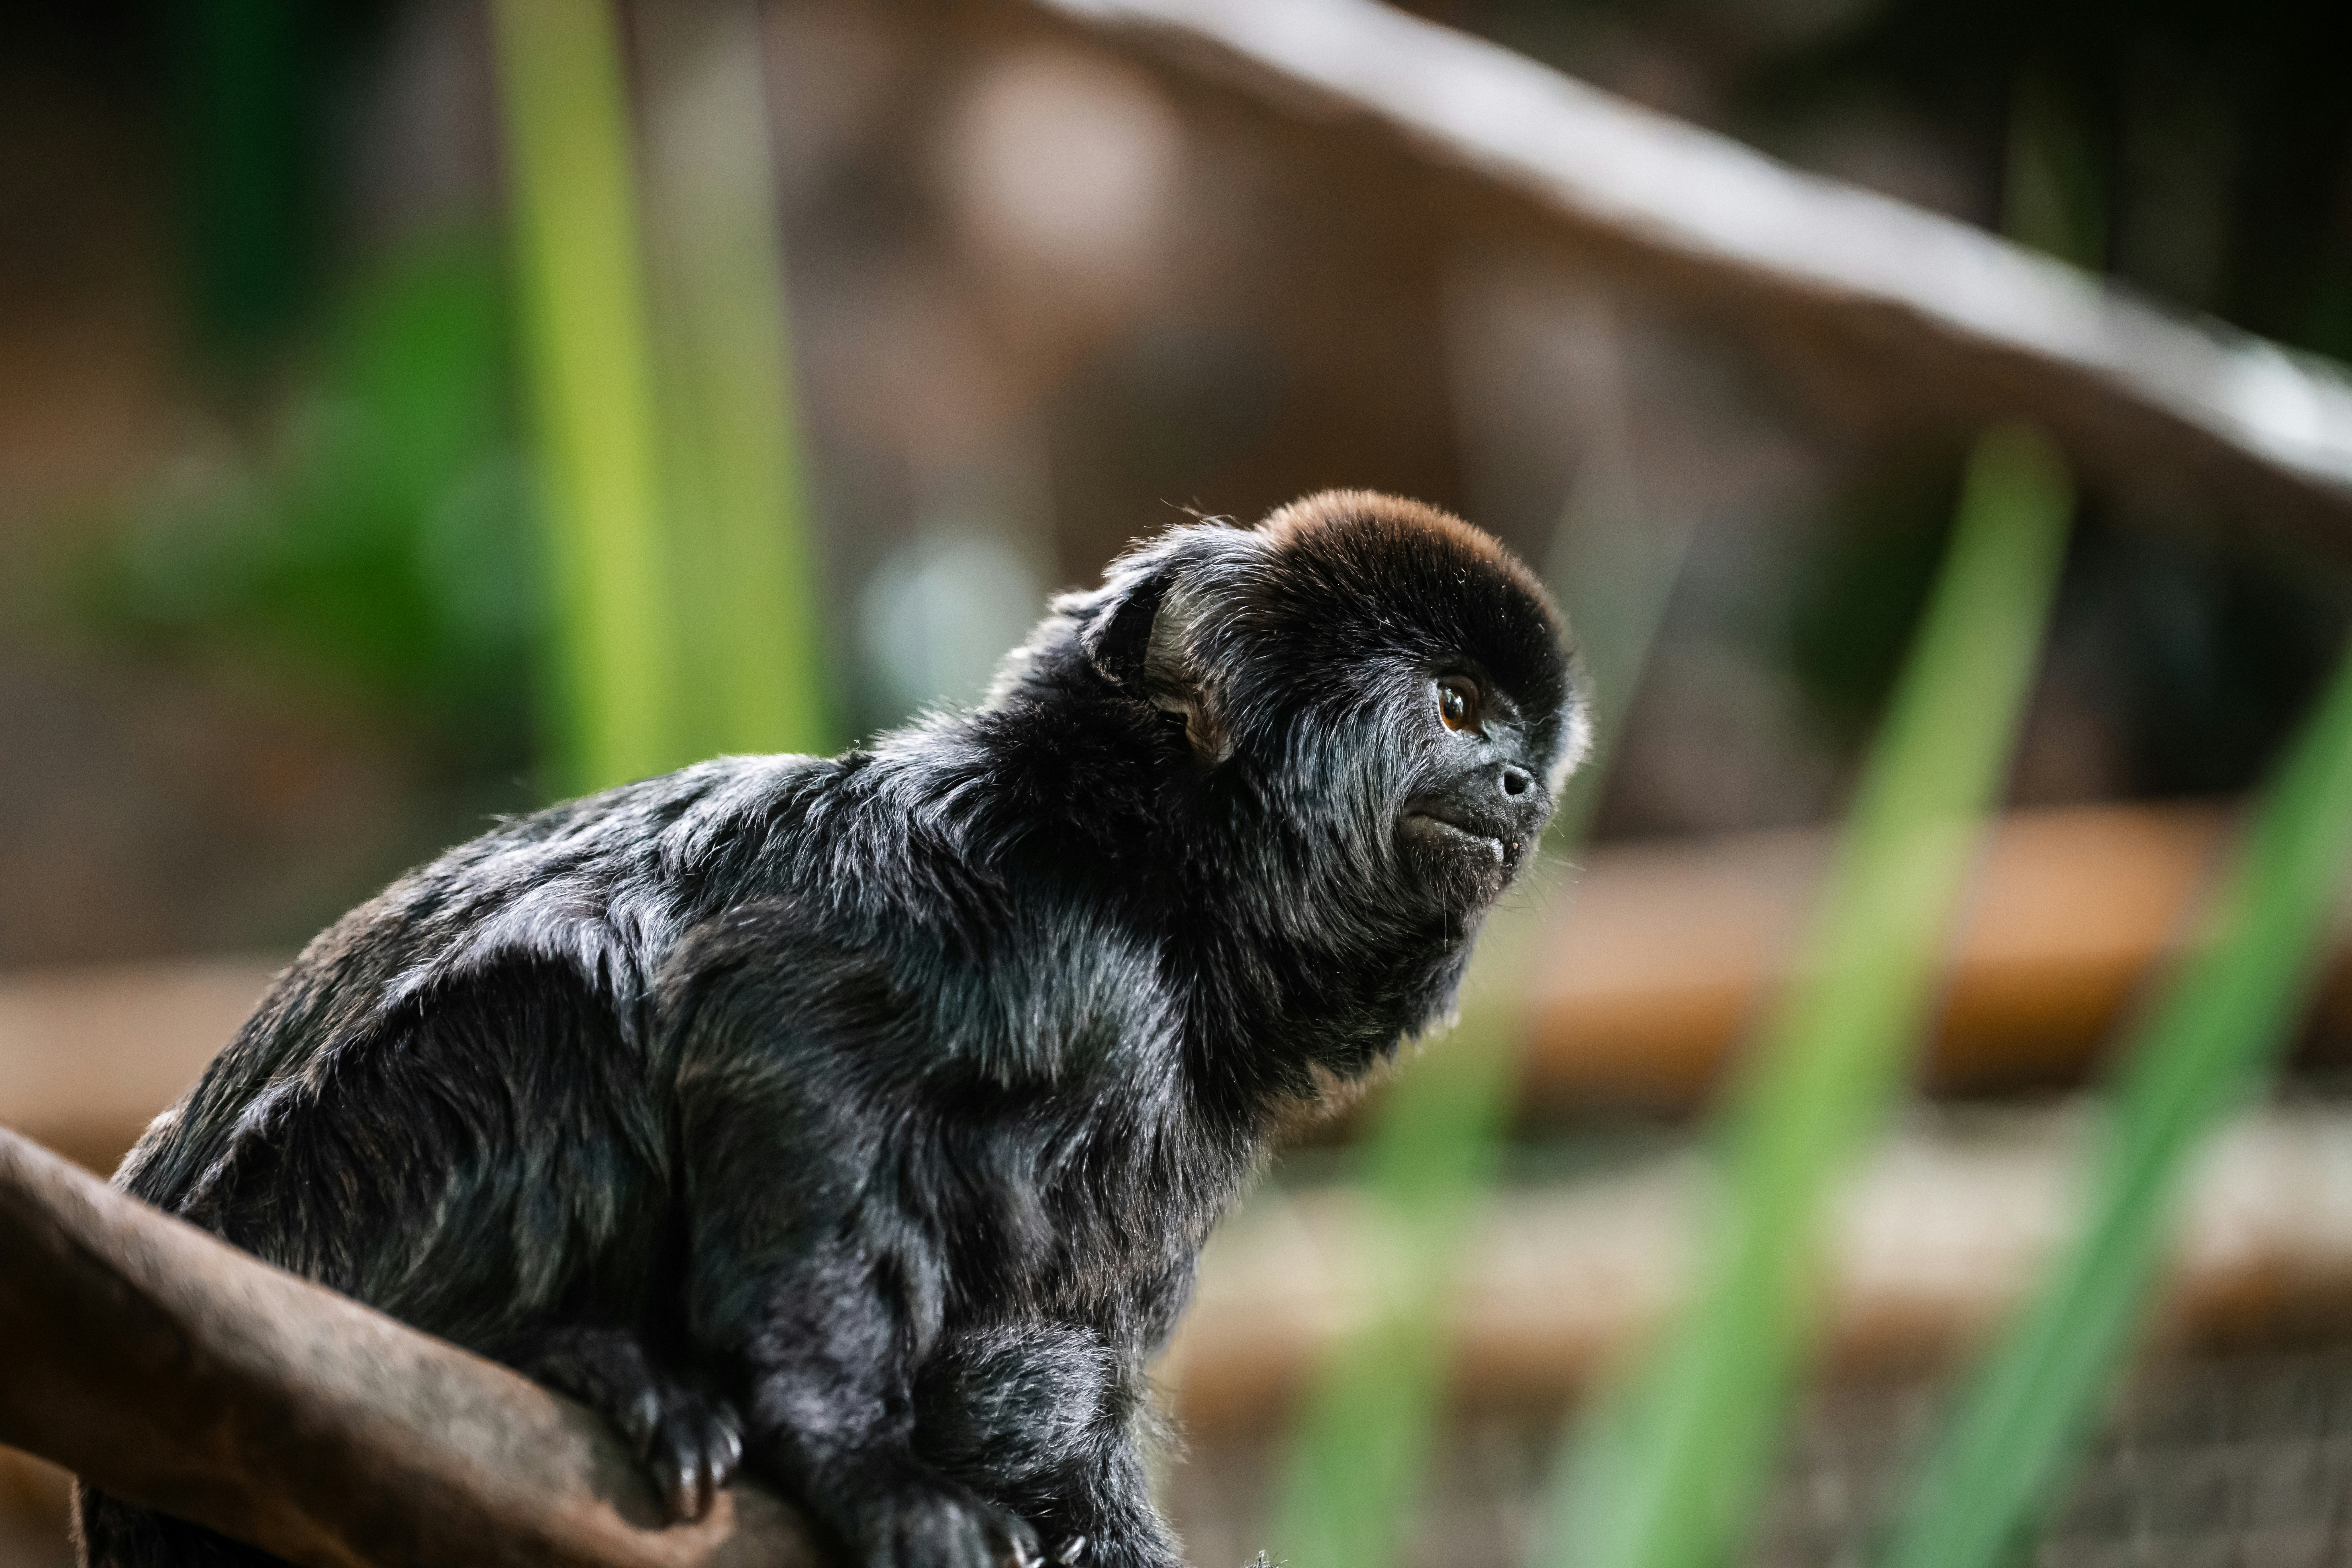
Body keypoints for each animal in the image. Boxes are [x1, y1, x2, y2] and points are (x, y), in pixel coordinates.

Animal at [76, 489, 1585, 1568]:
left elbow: (1064, 1355)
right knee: (555, 1003)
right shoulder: (1006, 934)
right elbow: (778, 1049)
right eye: (1454, 708)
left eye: (1525, 742)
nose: (1516, 783)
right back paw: (563, 1360)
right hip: (308, 1210)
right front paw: (861, 1464)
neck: (1147, 892)